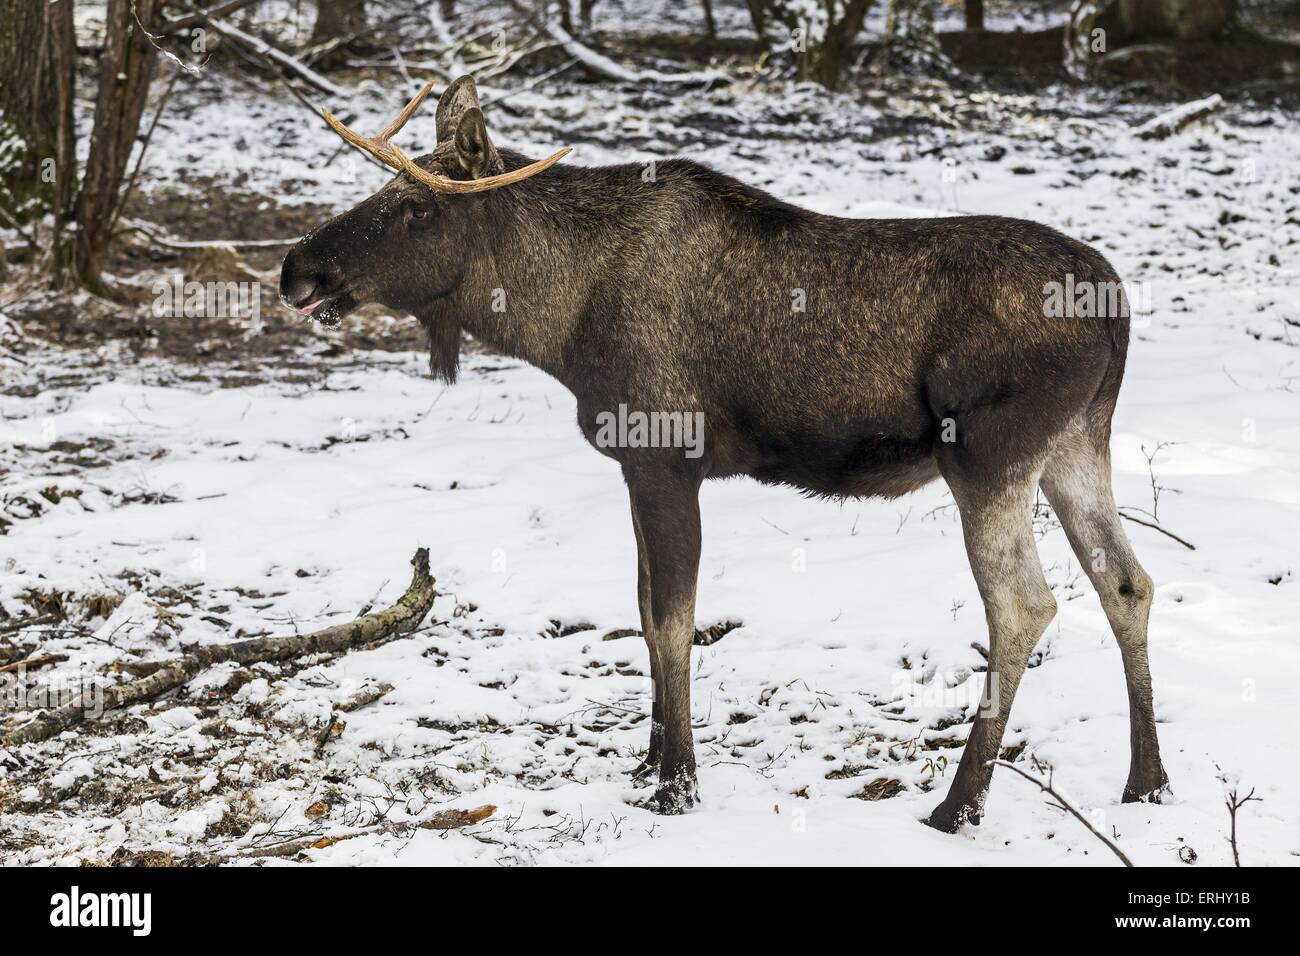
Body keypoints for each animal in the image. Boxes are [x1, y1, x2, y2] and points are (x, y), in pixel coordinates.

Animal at [279, 76, 1170, 831]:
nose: (296, 268)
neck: (555, 322)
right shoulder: (638, 466)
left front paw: (678, 786)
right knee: (1128, 581)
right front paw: (647, 764)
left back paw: (959, 806)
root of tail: (1118, 305)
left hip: (986, 455)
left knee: (1024, 605)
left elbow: (674, 621)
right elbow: (643, 611)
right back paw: (1148, 781)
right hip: (1076, 442)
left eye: (416, 209)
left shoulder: (666, 454)